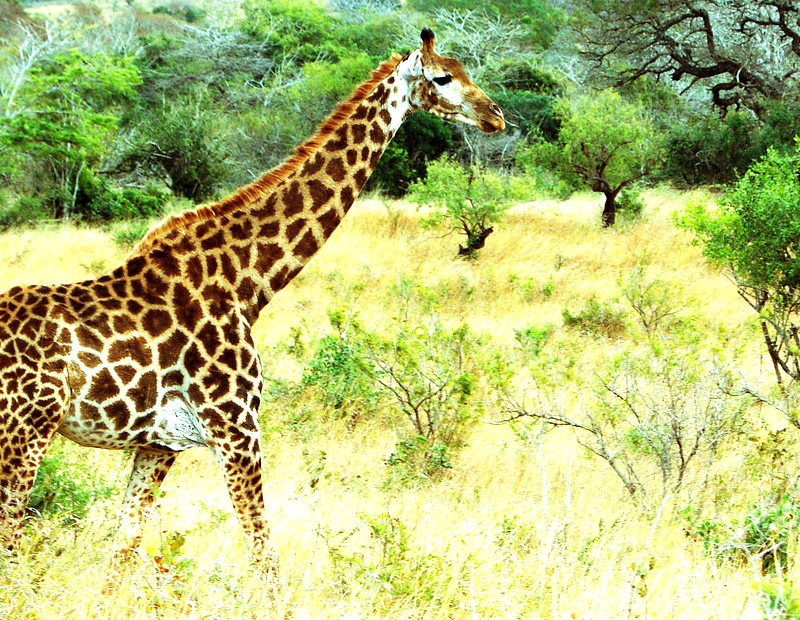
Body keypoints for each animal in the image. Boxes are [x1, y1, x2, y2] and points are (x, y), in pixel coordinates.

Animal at [0, 29, 504, 576]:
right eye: (442, 77)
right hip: (24, 430)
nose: (496, 116)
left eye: (466, 69)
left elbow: (123, 549)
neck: (249, 283)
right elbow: (264, 555)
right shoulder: (235, 427)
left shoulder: (160, 443)